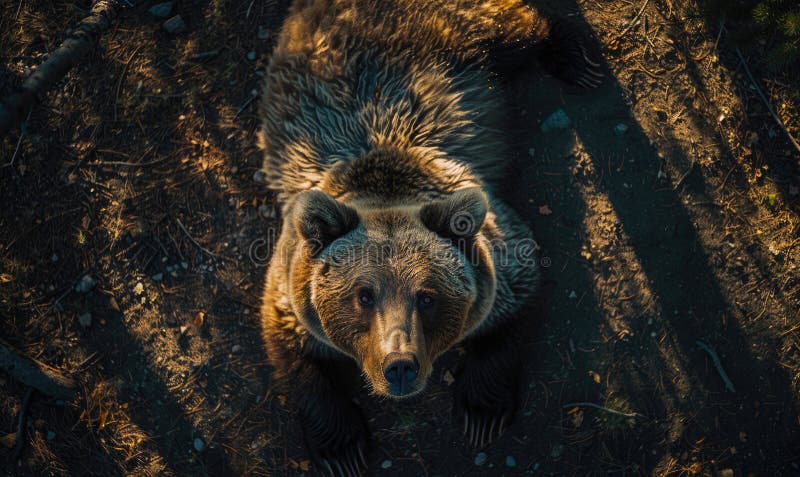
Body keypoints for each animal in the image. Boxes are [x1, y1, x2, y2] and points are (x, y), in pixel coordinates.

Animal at [257, 0, 601, 474]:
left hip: (448, 42)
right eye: (363, 295)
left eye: (427, 296)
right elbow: (293, 348)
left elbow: (516, 296)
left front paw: (481, 412)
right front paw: (341, 450)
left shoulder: (497, 249)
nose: (399, 366)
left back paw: (577, 59)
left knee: (511, 30)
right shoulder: (292, 277)